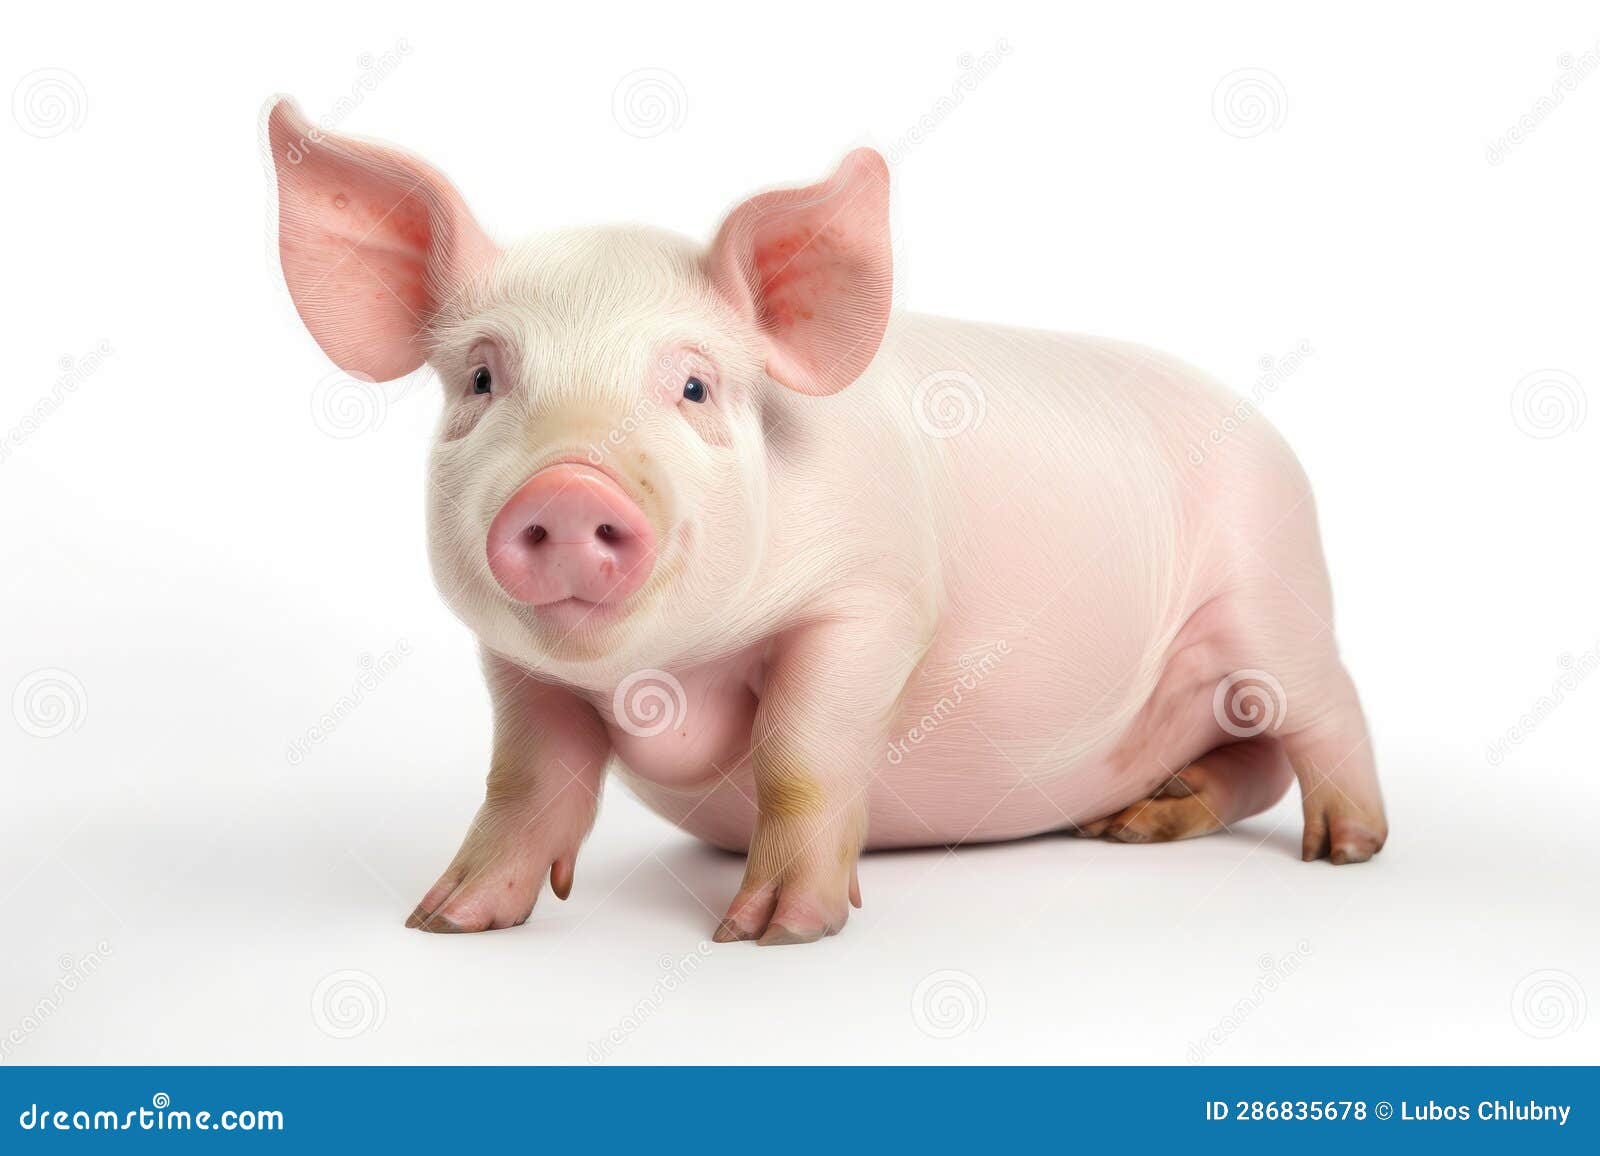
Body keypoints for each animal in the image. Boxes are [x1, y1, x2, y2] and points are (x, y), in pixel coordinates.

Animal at [264, 97, 1387, 946]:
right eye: (483, 379)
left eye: (694, 386)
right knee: (1251, 758)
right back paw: (1135, 824)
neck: (659, 675)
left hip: (1270, 587)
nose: (568, 489)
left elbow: (801, 751)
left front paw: (767, 932)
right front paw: (444, 920)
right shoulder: (515, 664)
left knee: (1321, 709)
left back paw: (1345, 849)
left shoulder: (872, 599)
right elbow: (527, 775)